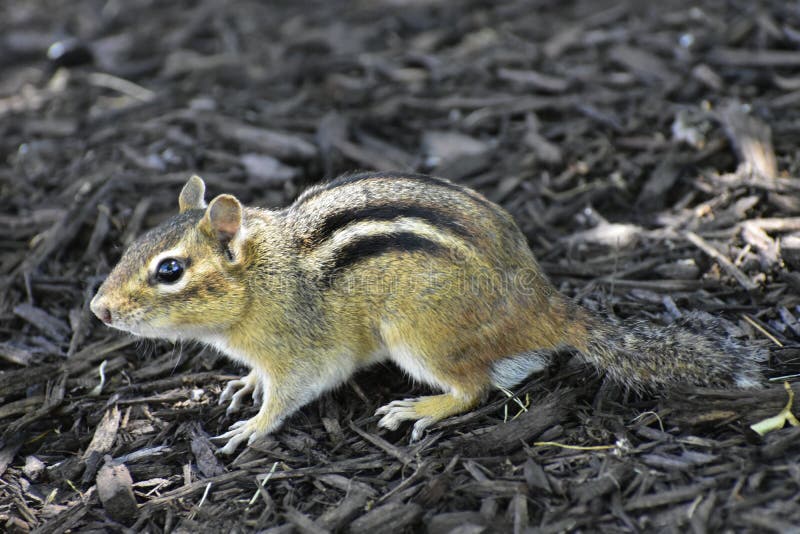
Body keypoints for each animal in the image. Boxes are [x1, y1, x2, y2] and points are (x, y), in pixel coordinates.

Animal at [90, 172, 765, 454]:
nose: (98, 309)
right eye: (133, 245)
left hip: (418, 335)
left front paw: (254, 426)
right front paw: (243, 385)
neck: (263, 280)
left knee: (473, 389)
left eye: (169, 270)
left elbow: (291, 395)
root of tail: (543, 303)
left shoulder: (303, 353)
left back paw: (419, 408)